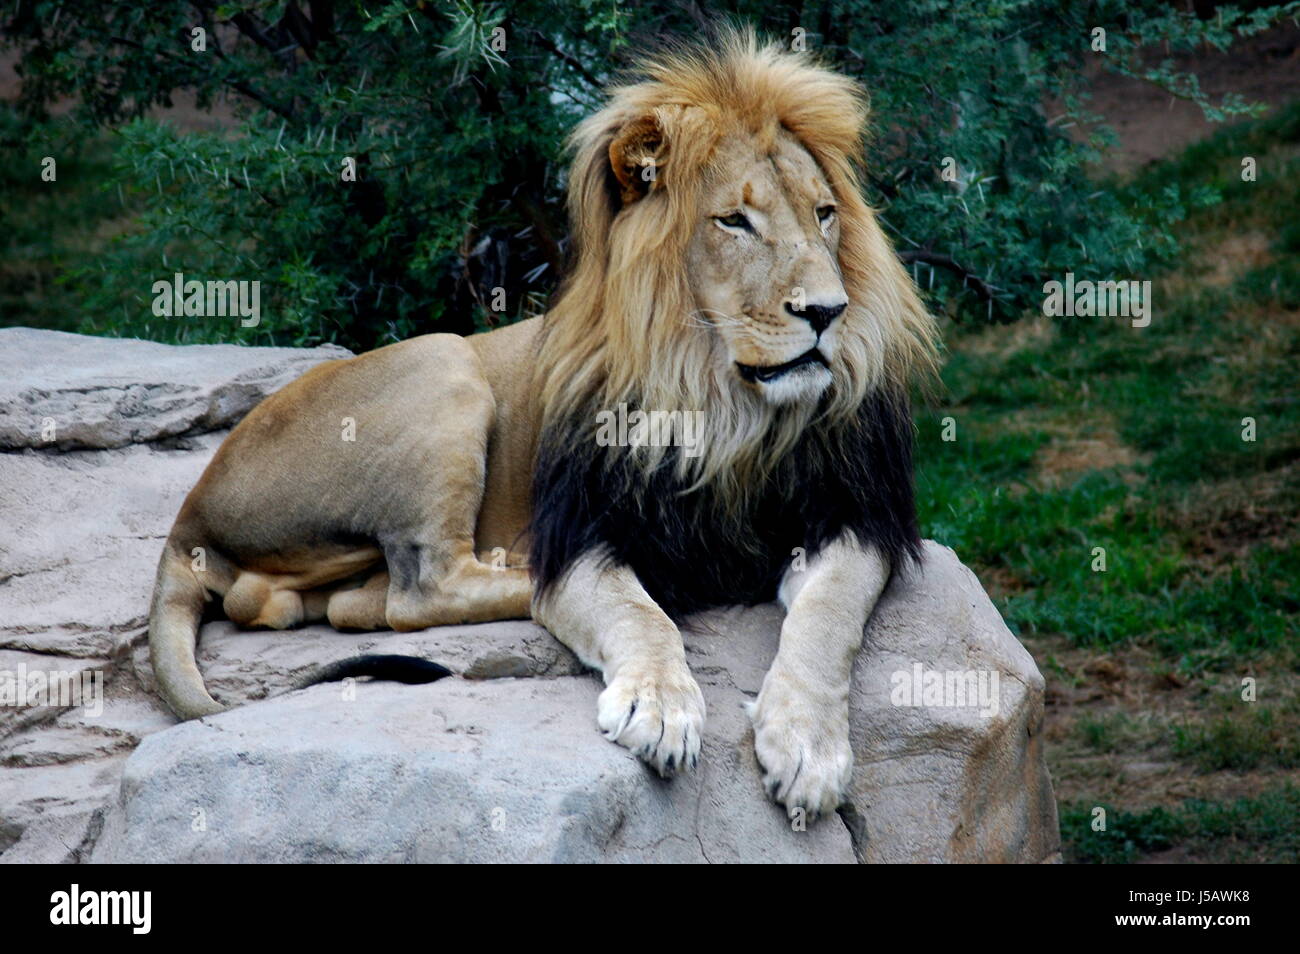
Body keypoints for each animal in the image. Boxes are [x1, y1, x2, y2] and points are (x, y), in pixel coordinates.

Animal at [148, 29, 938, 820]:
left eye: (825, 214)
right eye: (735, 221)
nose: (829, 311)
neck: (726, 407)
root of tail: (189, 514)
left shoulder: (857, 518)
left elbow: (828, 614)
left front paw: (808, 747)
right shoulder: (584, 526)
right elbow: (635, 612)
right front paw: (659, 704)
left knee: (331, 606)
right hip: (444, 361)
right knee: (424, 590)